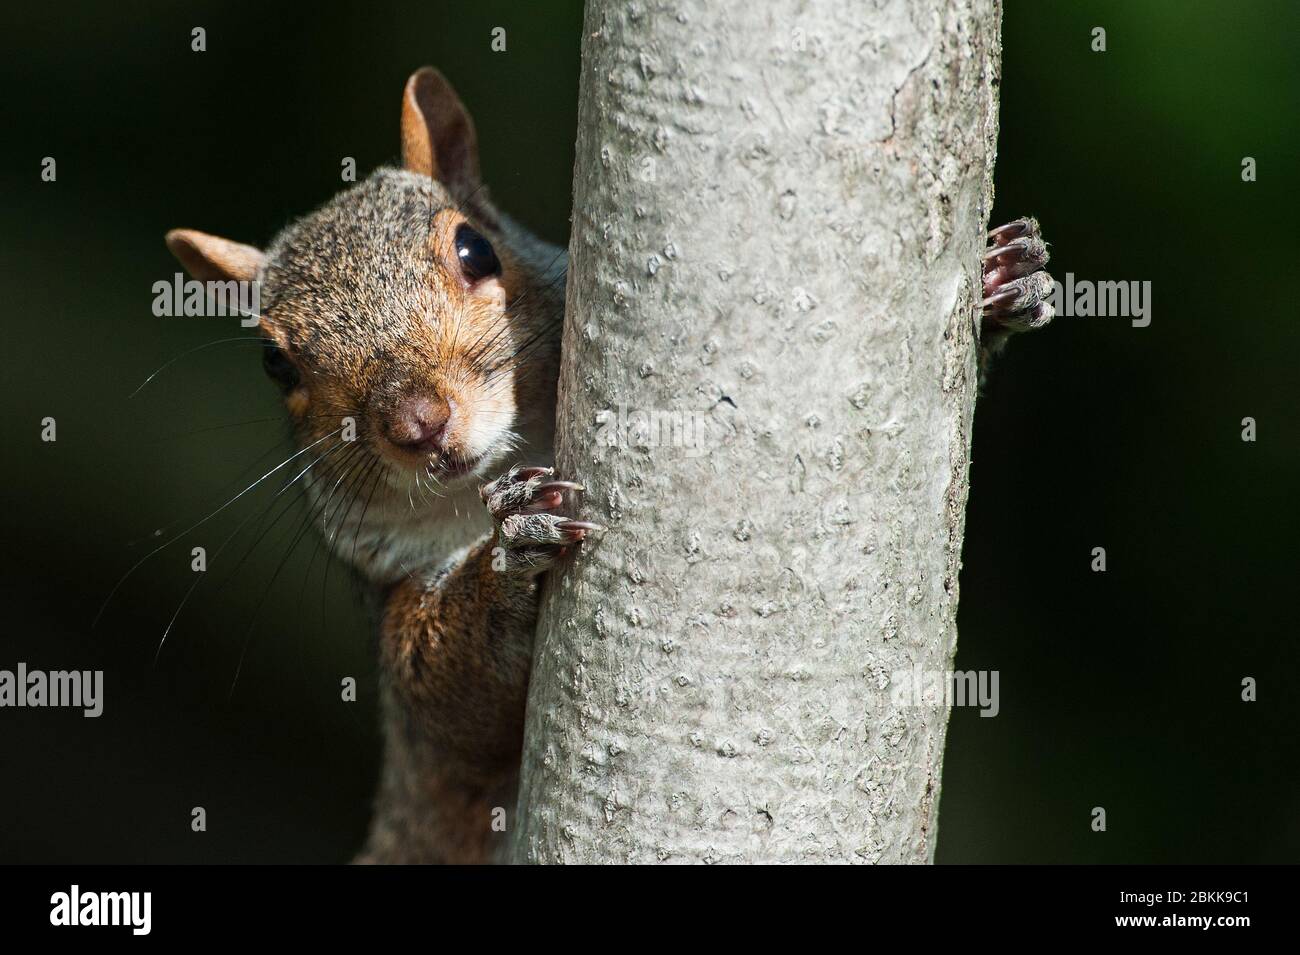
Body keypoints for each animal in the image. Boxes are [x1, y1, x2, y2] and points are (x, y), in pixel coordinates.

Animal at [164, 67, 1052, 864]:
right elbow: (455, 706)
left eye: (474, 248)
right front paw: (511, 551)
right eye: (276, 364)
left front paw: (1001, 281)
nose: (418, 422)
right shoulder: (414, 670)